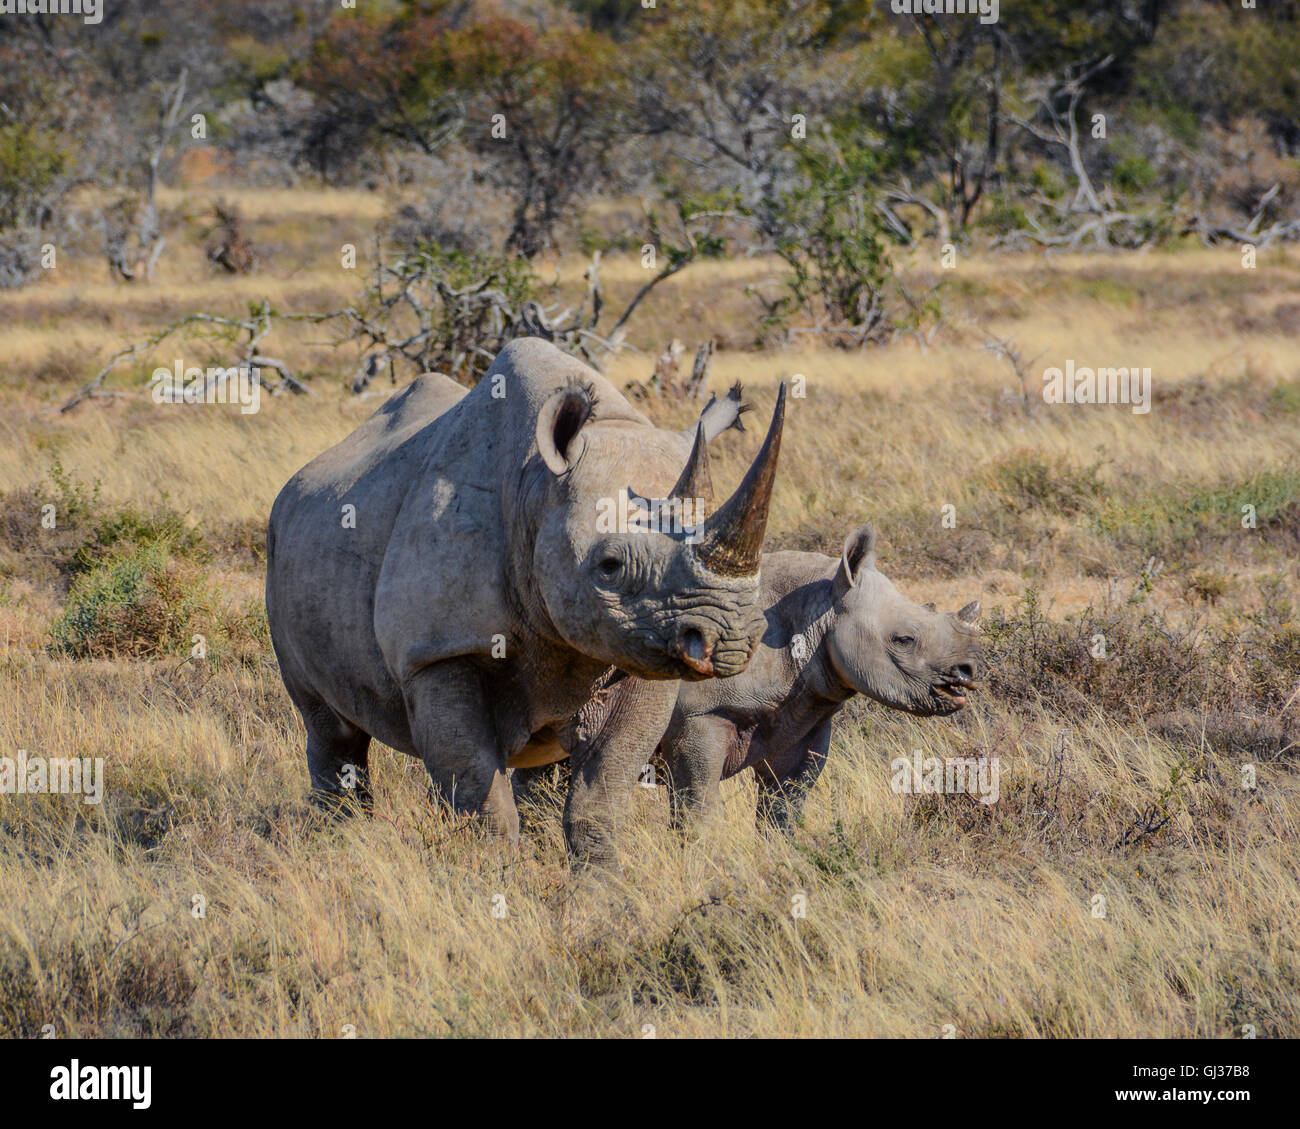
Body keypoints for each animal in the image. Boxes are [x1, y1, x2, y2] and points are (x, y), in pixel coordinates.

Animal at [265, 338, 786, 867]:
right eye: (610, 567)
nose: (731, 640)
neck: (534, 490)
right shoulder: (437, 651)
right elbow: (479, 790)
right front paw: (493, 874)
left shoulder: (641, 654)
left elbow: (602, 792)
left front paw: (600, 885)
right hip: (283, 543)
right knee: (330, 727)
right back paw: (338, 842)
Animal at [522, 523, 982, 831]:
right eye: (904, 639)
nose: (967, 675)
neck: (818, 608)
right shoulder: (701, 716)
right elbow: (699, 805)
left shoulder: (808, 717)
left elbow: (784, 807)